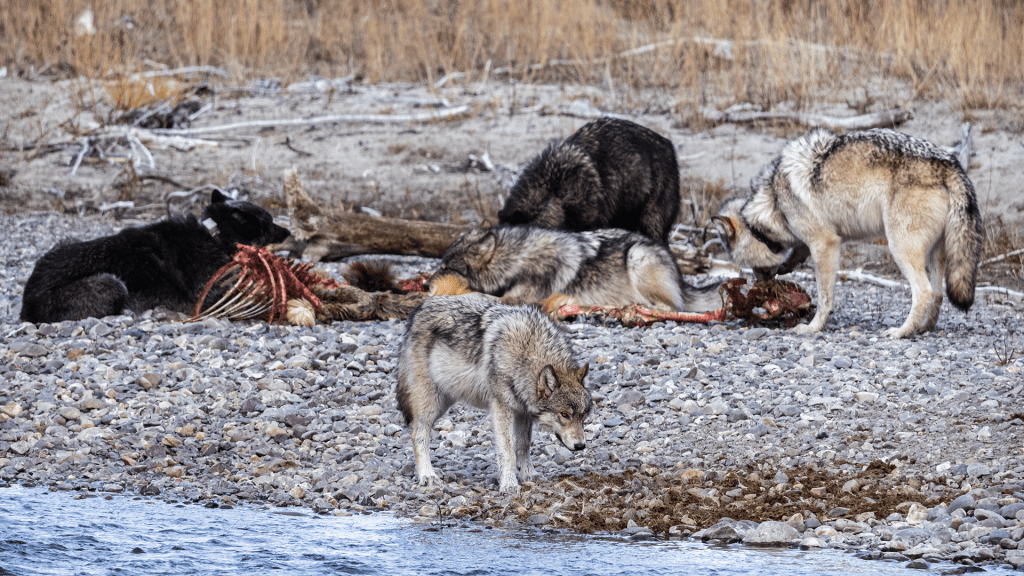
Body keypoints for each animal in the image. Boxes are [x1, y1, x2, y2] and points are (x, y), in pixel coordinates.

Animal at [20, 190, 291, 323]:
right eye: (269, 224)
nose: (288, 232)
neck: (214, 235)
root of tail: (26, 303)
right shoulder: (214, 294)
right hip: (110, 283)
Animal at [396, 295, 592, 493]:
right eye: (564, 414)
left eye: (583, 415)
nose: (581, 445)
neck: (526, 352)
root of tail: (418, 310)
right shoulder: (501, 408)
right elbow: (507, 450)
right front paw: (509, 483)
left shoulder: (523, 411)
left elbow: (523, 446)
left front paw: (529, 475)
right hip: (431, 405)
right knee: (417, 434)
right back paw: (427, 475)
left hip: (444, 401)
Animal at [429, 226, 721, 312]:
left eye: (446, 267)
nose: (425, 284)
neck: (517, 259)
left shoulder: (515, 299)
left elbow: (475, 295)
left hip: (638, 256)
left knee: (669, 307)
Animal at [711, 128, 983, 338]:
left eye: (751, 267)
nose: (760, 286)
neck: (773, 202)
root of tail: (949, 162)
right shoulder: (814, 240)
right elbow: (798, 253)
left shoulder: (826, 243)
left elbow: (824, 296)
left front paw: (813, 328)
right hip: (935, 254)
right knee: (938, 294)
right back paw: (924, 328)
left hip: (900, 248)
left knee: (924, 292)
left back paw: (901, 332)